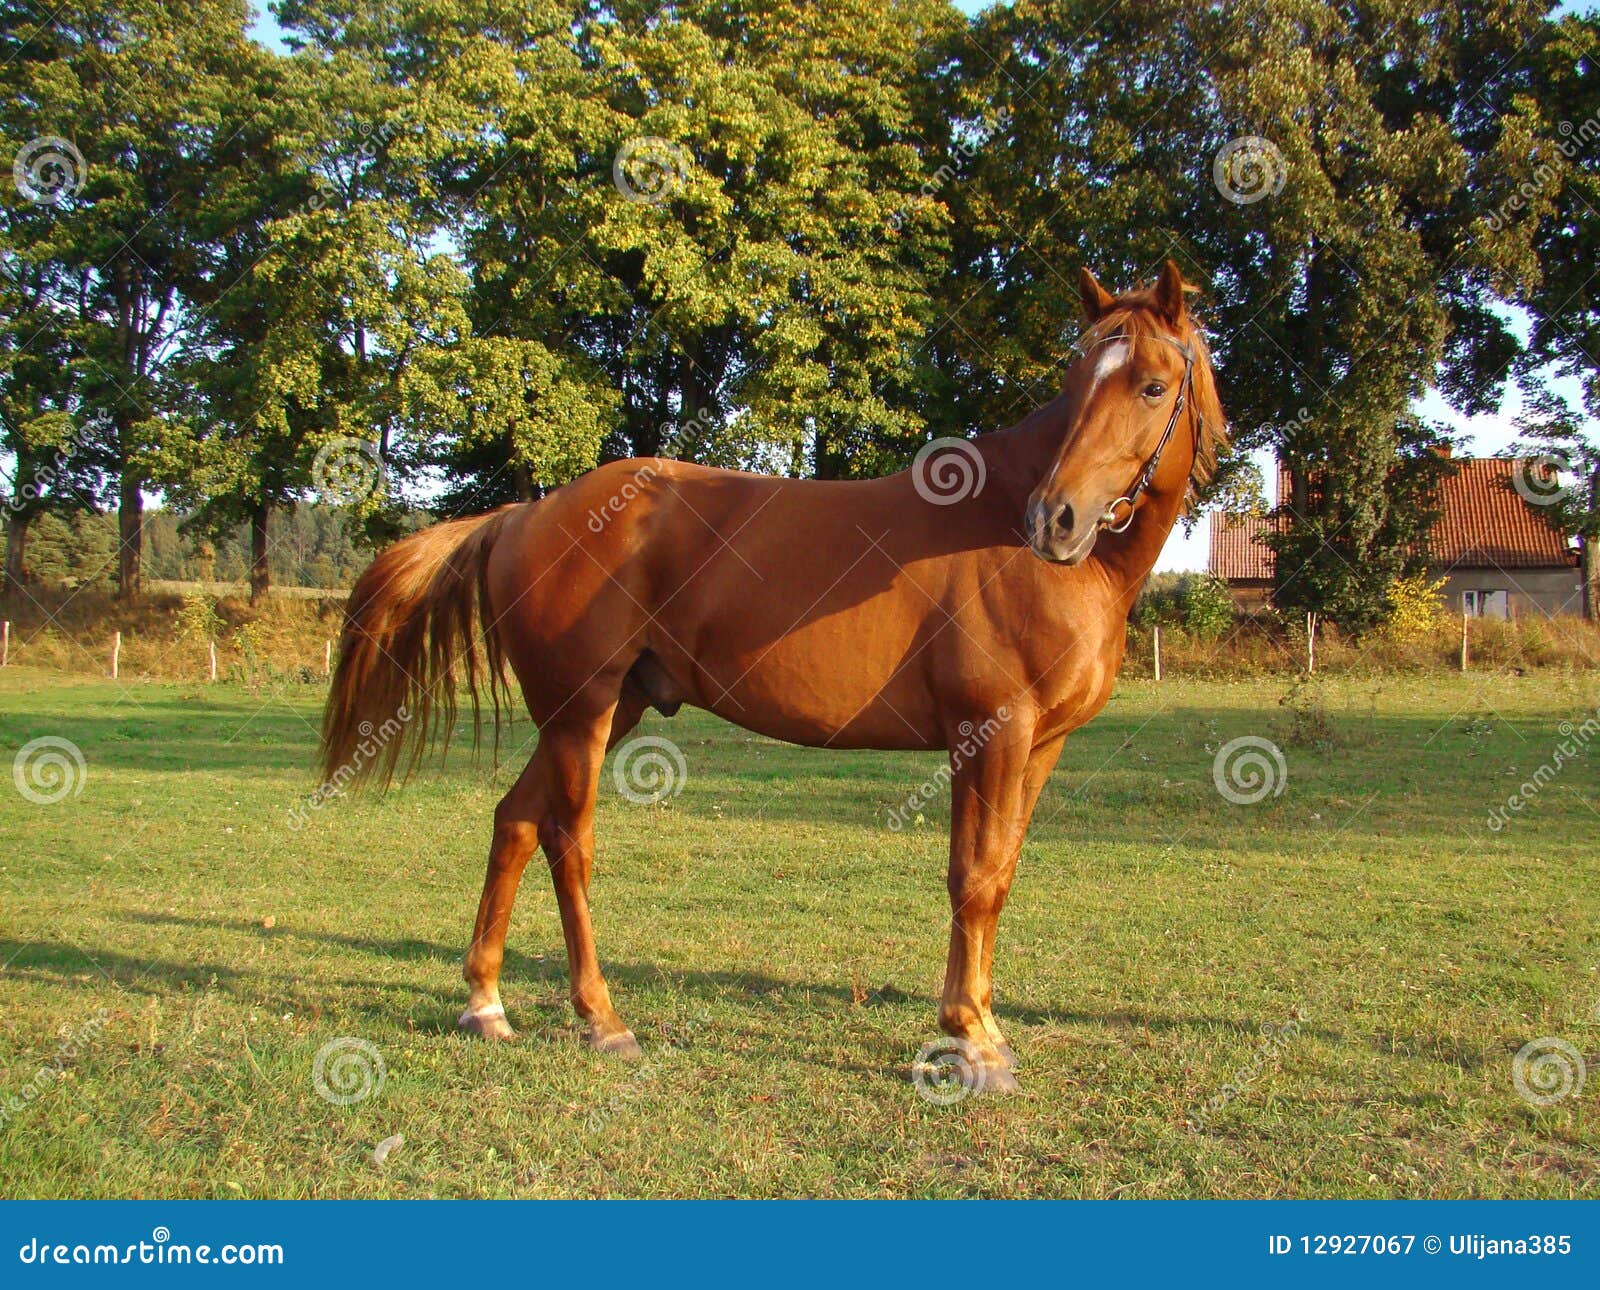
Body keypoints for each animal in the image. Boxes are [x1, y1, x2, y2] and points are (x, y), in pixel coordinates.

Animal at [321, 260, 1227, 1093]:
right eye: (1077, 382)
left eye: (1151, 385)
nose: (1056, 521)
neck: (1005, 530)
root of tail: (527, 513)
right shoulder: (991, 733)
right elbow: (972, 880)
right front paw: (971, 1043)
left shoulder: (1038, 746)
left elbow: (995, 876)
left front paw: (981, 1029)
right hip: (582, 714)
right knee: (565, 841)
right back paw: (602, 1020)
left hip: (604, 710)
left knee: (512, 821)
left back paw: (485, 1002)